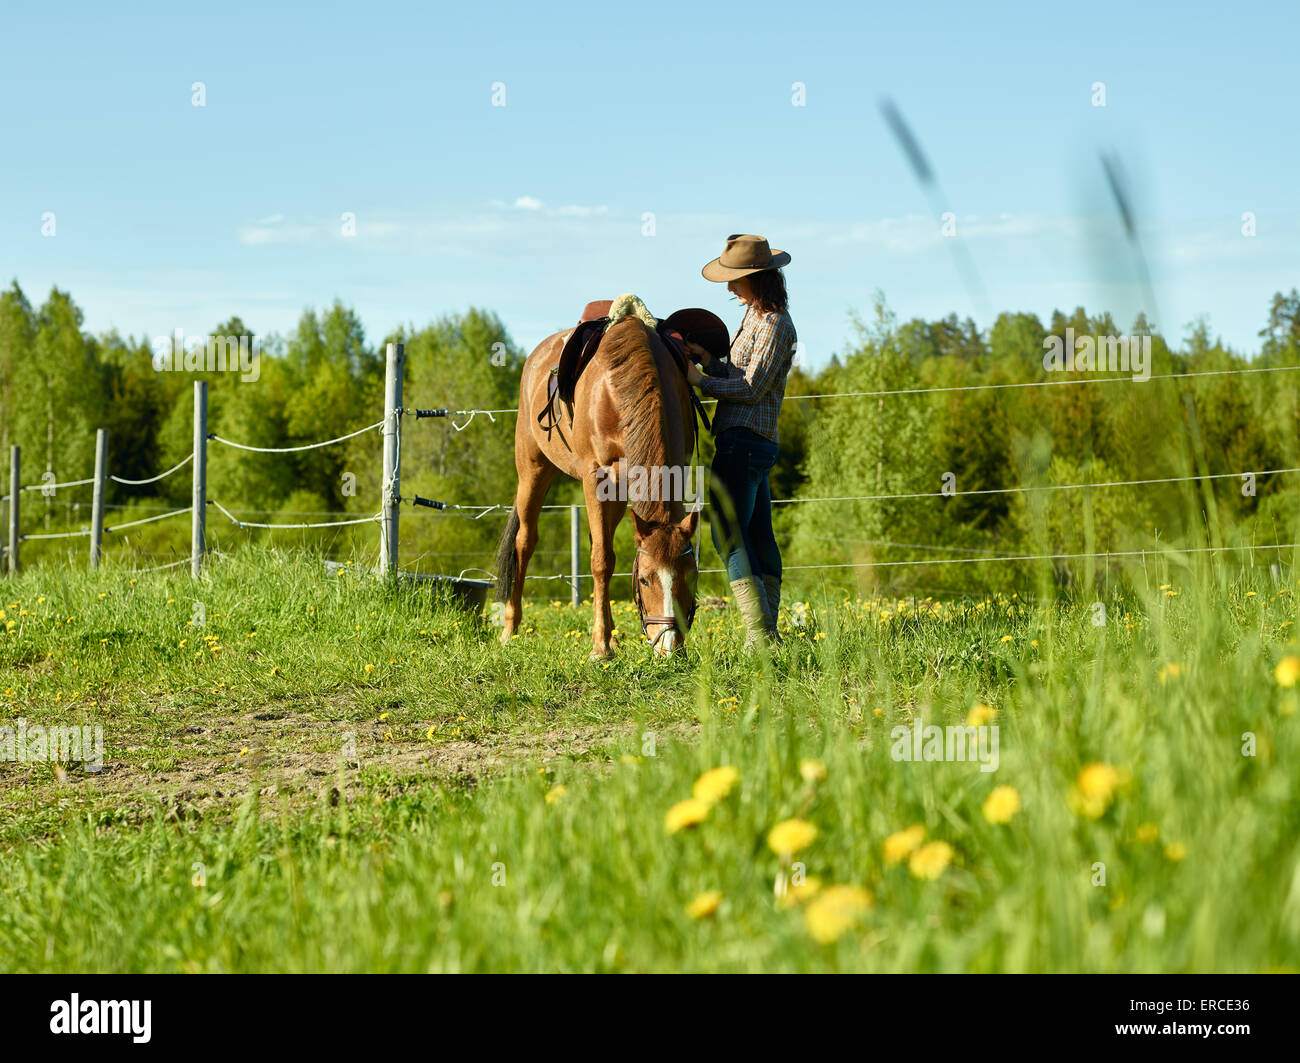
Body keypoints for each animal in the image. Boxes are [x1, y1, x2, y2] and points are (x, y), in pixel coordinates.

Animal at [494, 295, 700, 658]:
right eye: (645, 579)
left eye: (689, 576)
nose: (670, 647)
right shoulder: (595, 476)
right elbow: (601, 560)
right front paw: (599, 648)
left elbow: (605, 553)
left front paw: (607, 639)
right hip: (533, 470)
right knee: (525, 542)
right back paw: (510, 629)